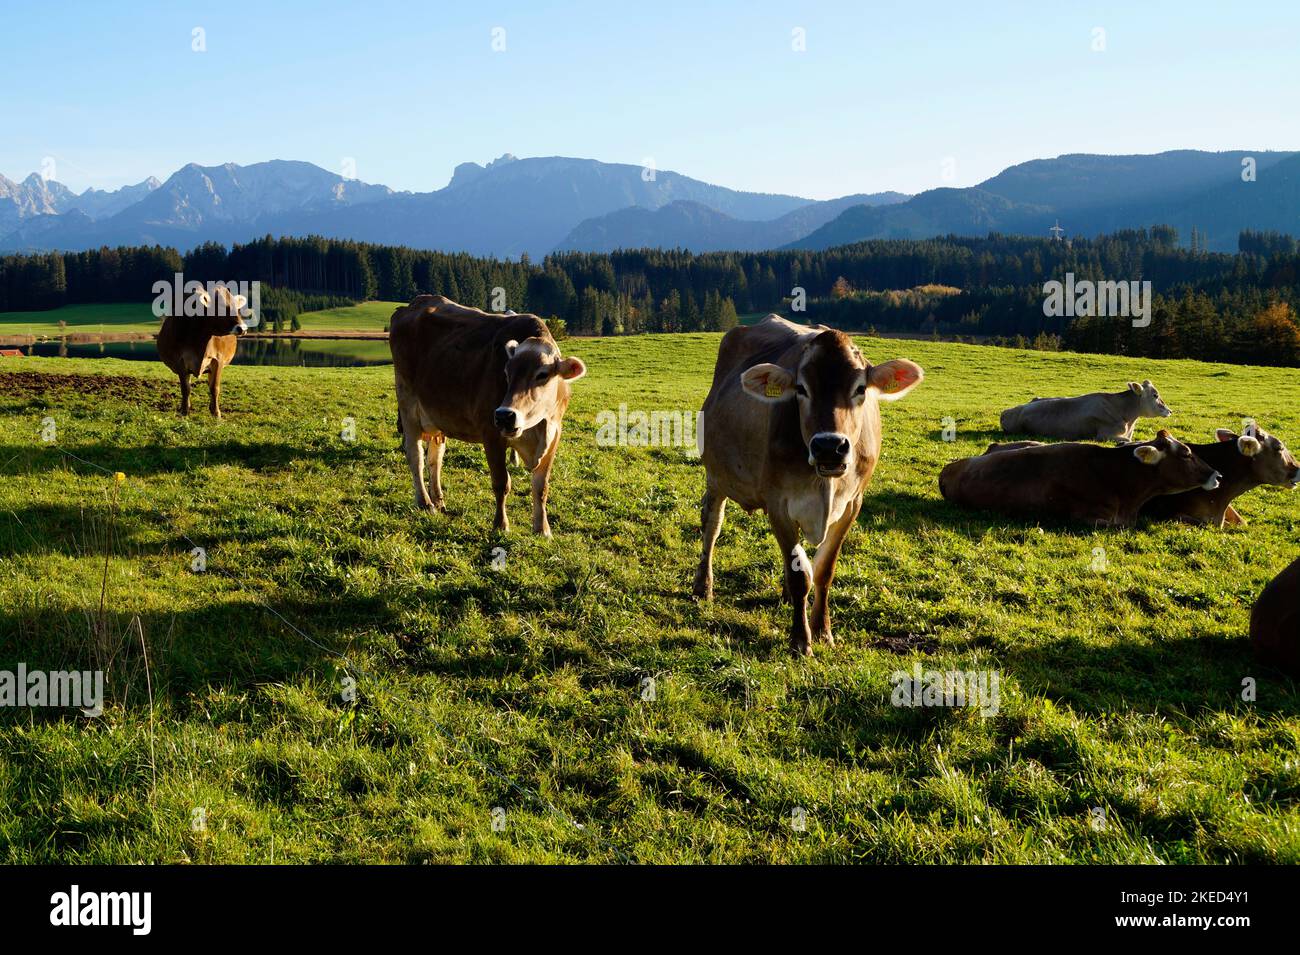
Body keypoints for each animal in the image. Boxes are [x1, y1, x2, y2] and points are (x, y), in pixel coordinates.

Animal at [156, 284, 250, 418]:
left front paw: (216, 413)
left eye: (237, 307)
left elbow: (214, 387)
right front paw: (184, 411)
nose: (243, 328)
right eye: (220, 306)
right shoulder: (180, 361)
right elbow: (185, 388)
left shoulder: (218, 360)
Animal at [388, 295, 585, 536]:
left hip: (435, 416)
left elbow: (541, 486)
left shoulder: (554, 435)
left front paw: (542, 529)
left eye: (542, 374)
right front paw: (500, 524)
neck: (537, 429)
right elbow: (501, 483)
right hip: (408, 403)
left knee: (435, 458)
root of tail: (412, 305)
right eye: (506, 372)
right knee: (415, 456)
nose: (504, 415)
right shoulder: (491, 434)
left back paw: (439, 501)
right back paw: (425, 503)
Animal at [692, 315, 923, 656]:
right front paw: (801, 640)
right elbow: (800, 575)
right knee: (712, 524)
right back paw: (702, 585)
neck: (825, 484)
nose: (829, 446)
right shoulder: (778, 502)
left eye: (860, 388)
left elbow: (823, 570)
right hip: (716, 474)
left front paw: (823, 630)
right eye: (801, 389)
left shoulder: (852, 504)